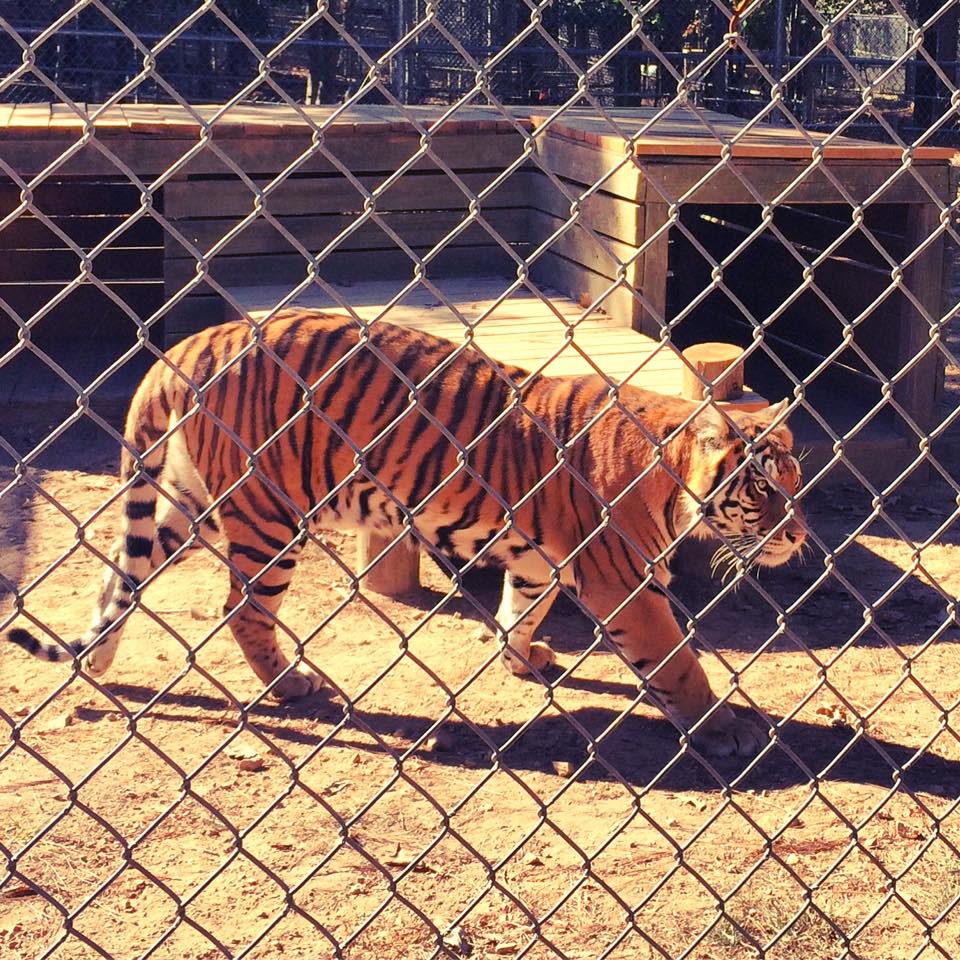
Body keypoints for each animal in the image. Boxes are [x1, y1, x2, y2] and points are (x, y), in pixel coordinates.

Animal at [4, 310, 805, 756]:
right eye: (764, 490)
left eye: (797, 480)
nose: (799, 538)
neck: (671, 481)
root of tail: (184, 348)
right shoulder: (625, 582)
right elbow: (677, 660)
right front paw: (723, 726)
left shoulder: (539, 560)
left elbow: (523, 607)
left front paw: (523, 658)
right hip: (269, 511)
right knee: (242, 607)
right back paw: (293, 685)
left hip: (182, 499)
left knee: (119, 573)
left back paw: (99, 663)